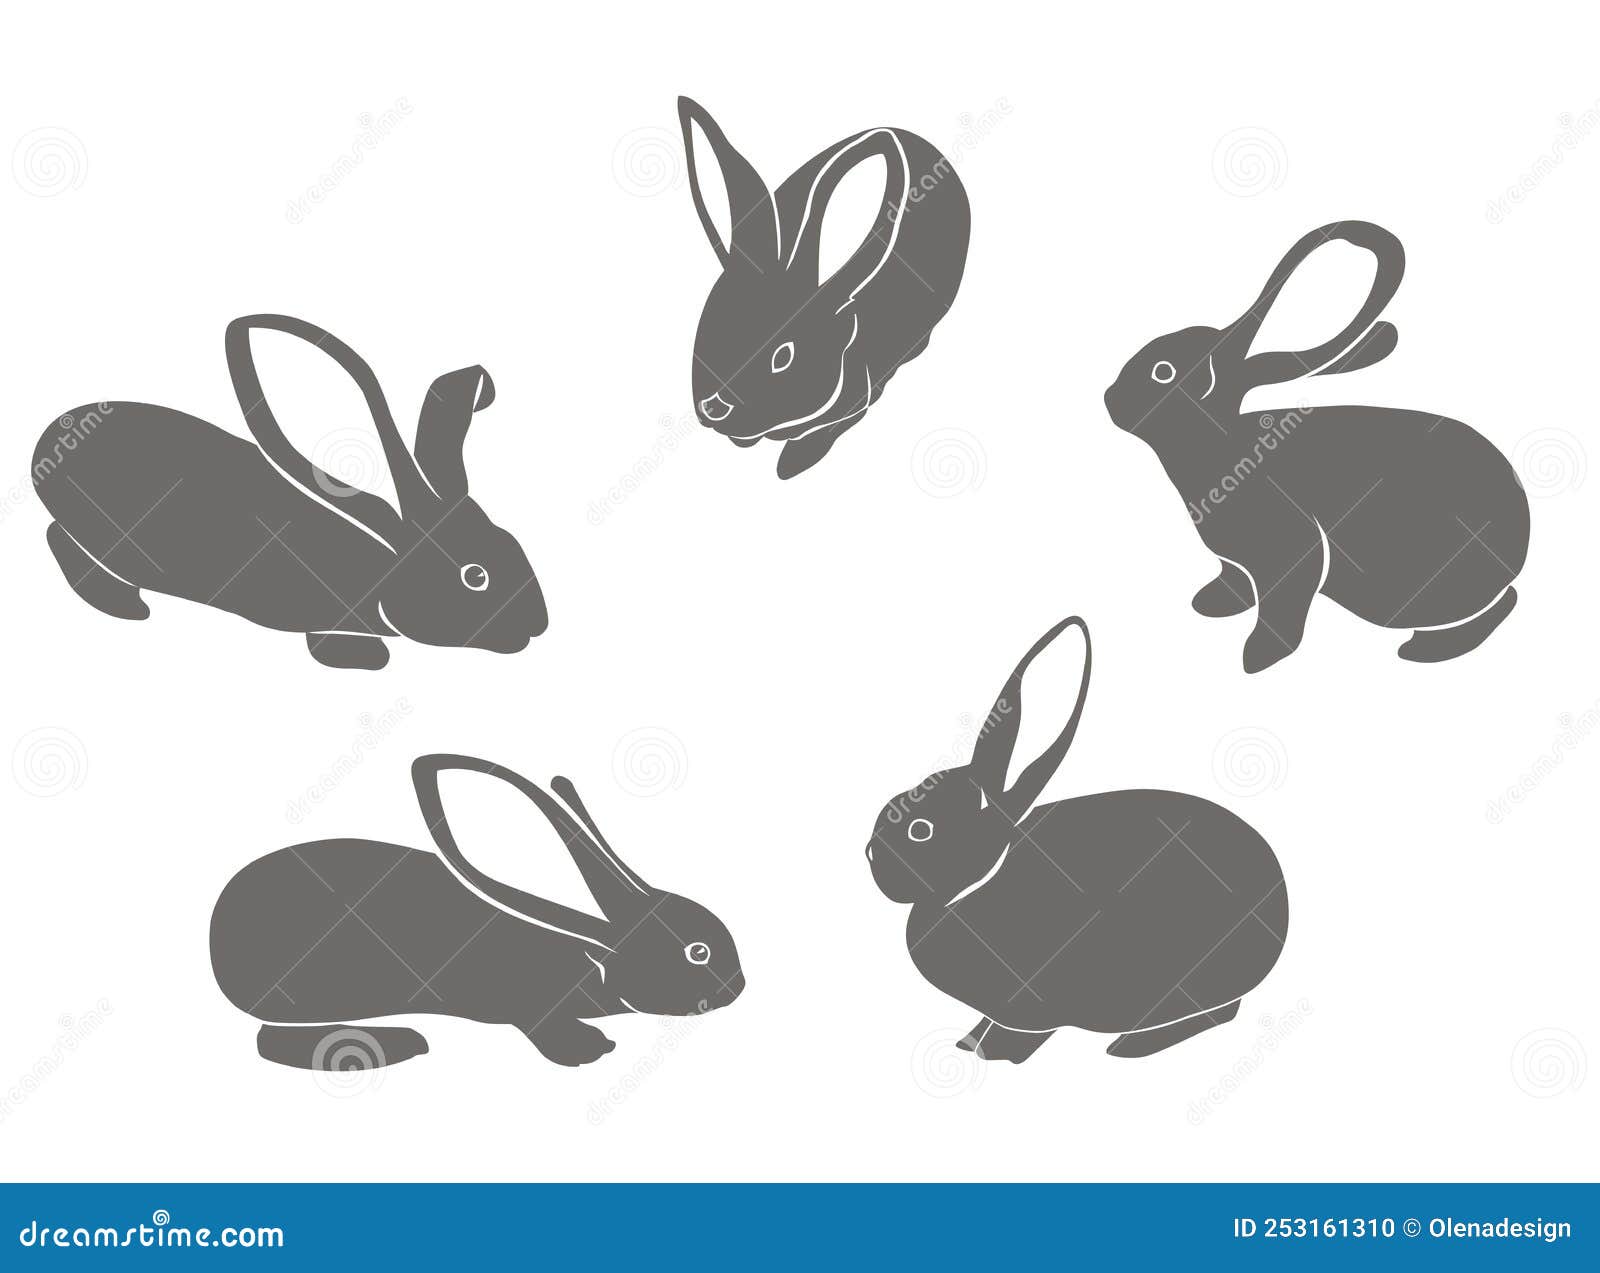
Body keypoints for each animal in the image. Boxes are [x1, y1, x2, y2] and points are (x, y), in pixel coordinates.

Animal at [32, 315, 547, 669]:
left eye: (513, 545)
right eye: (475, 576)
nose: (537, 627)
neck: (387, 561)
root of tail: (44, 450)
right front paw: (365, 660)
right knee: (61, 541)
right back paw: (127, 609)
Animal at [211, 754, 745, 1071]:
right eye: (697, 952)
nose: (737, 988)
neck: (593, 950)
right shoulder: (520, 1001)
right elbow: (536, 1023)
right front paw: (588, 1051)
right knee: (272, 1037)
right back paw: (402, 1044)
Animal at [678, 97, 970, 479]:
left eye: (783, 356)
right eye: (708, 327)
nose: (713, 408)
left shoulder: (858, 401)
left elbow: (825, 432)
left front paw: (790, 467)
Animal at [864, 617, 1287, 1063]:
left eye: (920, 830)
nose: (870, 854)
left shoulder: (1033, 1009)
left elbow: (1021, 1034)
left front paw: (991, 1053)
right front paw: (968, 1042)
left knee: (1217, 1012)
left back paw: (1128, 1048)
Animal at [1104, 221, 1528, 672]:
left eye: (1162, 372)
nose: (1109, 399)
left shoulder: (1289, 558)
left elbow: (1281, 610)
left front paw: (1258, 658)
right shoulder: (1234, 561)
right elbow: (1233, 581)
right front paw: (1210, 604)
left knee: (1496, 609)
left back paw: (1424, 651)